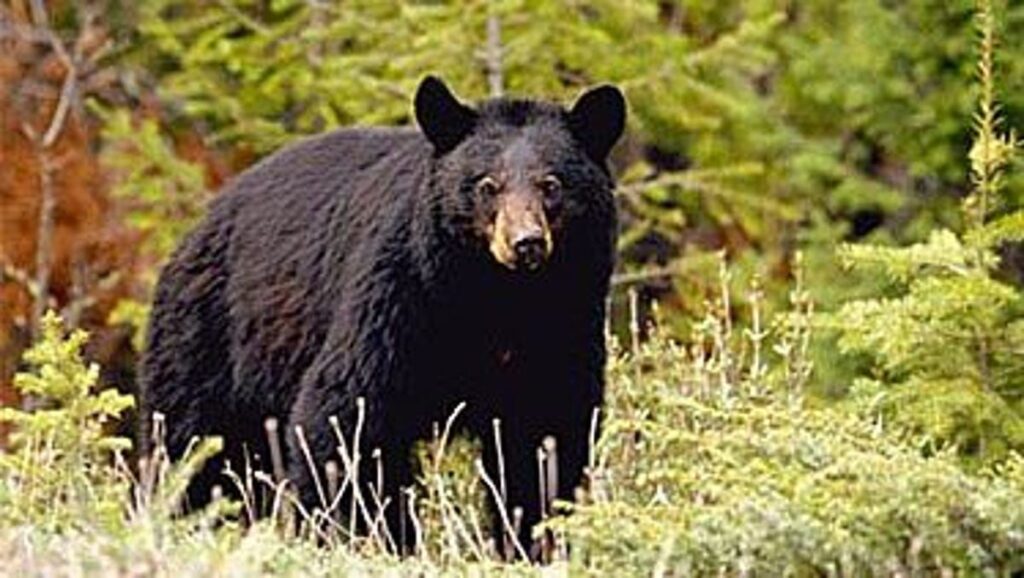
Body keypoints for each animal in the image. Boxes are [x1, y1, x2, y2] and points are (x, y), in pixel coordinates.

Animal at [138, 76, 625, 552]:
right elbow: (347, 414)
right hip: (209, 338)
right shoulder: (399, 298)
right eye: (487, 185)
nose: (526, 243)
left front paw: (534, 540)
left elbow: (544, 430)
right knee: (192, 443)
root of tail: (202, 222)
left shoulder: (562, 321)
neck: (496, 299)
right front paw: (374, 537)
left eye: (552, 184)